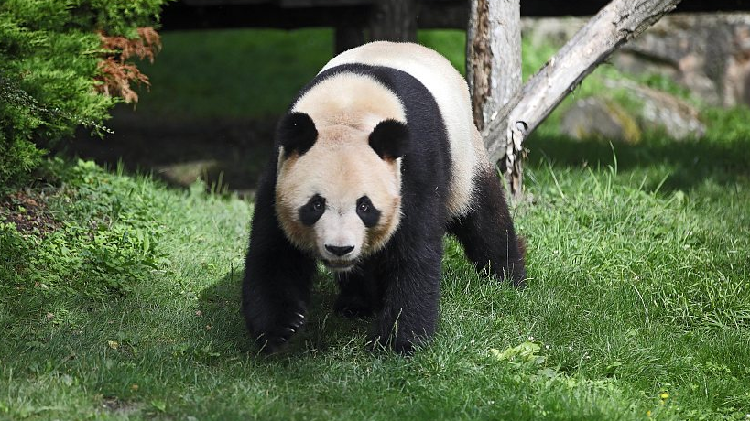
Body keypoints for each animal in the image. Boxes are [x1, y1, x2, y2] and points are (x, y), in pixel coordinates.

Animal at [242, 41, 526, 354]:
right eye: (315, 205)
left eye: (364, 206)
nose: (339, 248)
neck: (346, 110)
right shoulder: (279, 169)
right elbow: (275, 252)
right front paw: (281, 327)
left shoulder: (414, 165)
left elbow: (414, 251)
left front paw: (399, 342)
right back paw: (357, 303)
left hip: (464, 159)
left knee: (483, 216)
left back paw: (507, 278)